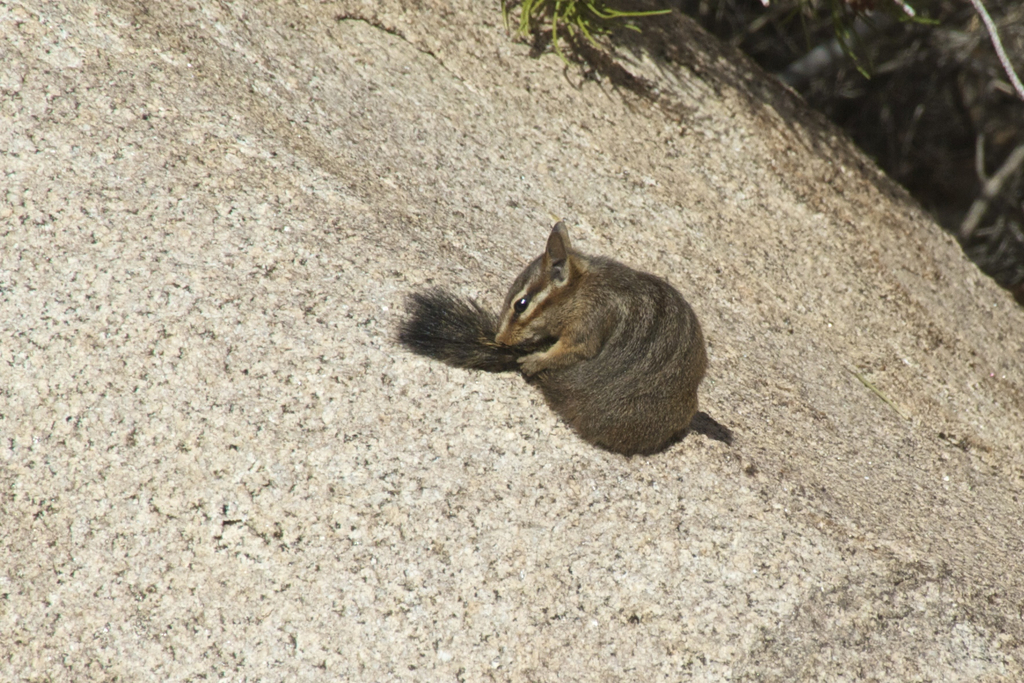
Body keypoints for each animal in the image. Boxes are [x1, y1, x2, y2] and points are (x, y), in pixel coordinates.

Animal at [398, 221, 707, 455]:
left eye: (521, 305)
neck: (582, 289)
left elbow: (574, 349)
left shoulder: (590, 321)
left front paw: (535, 360)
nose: (501, 338)